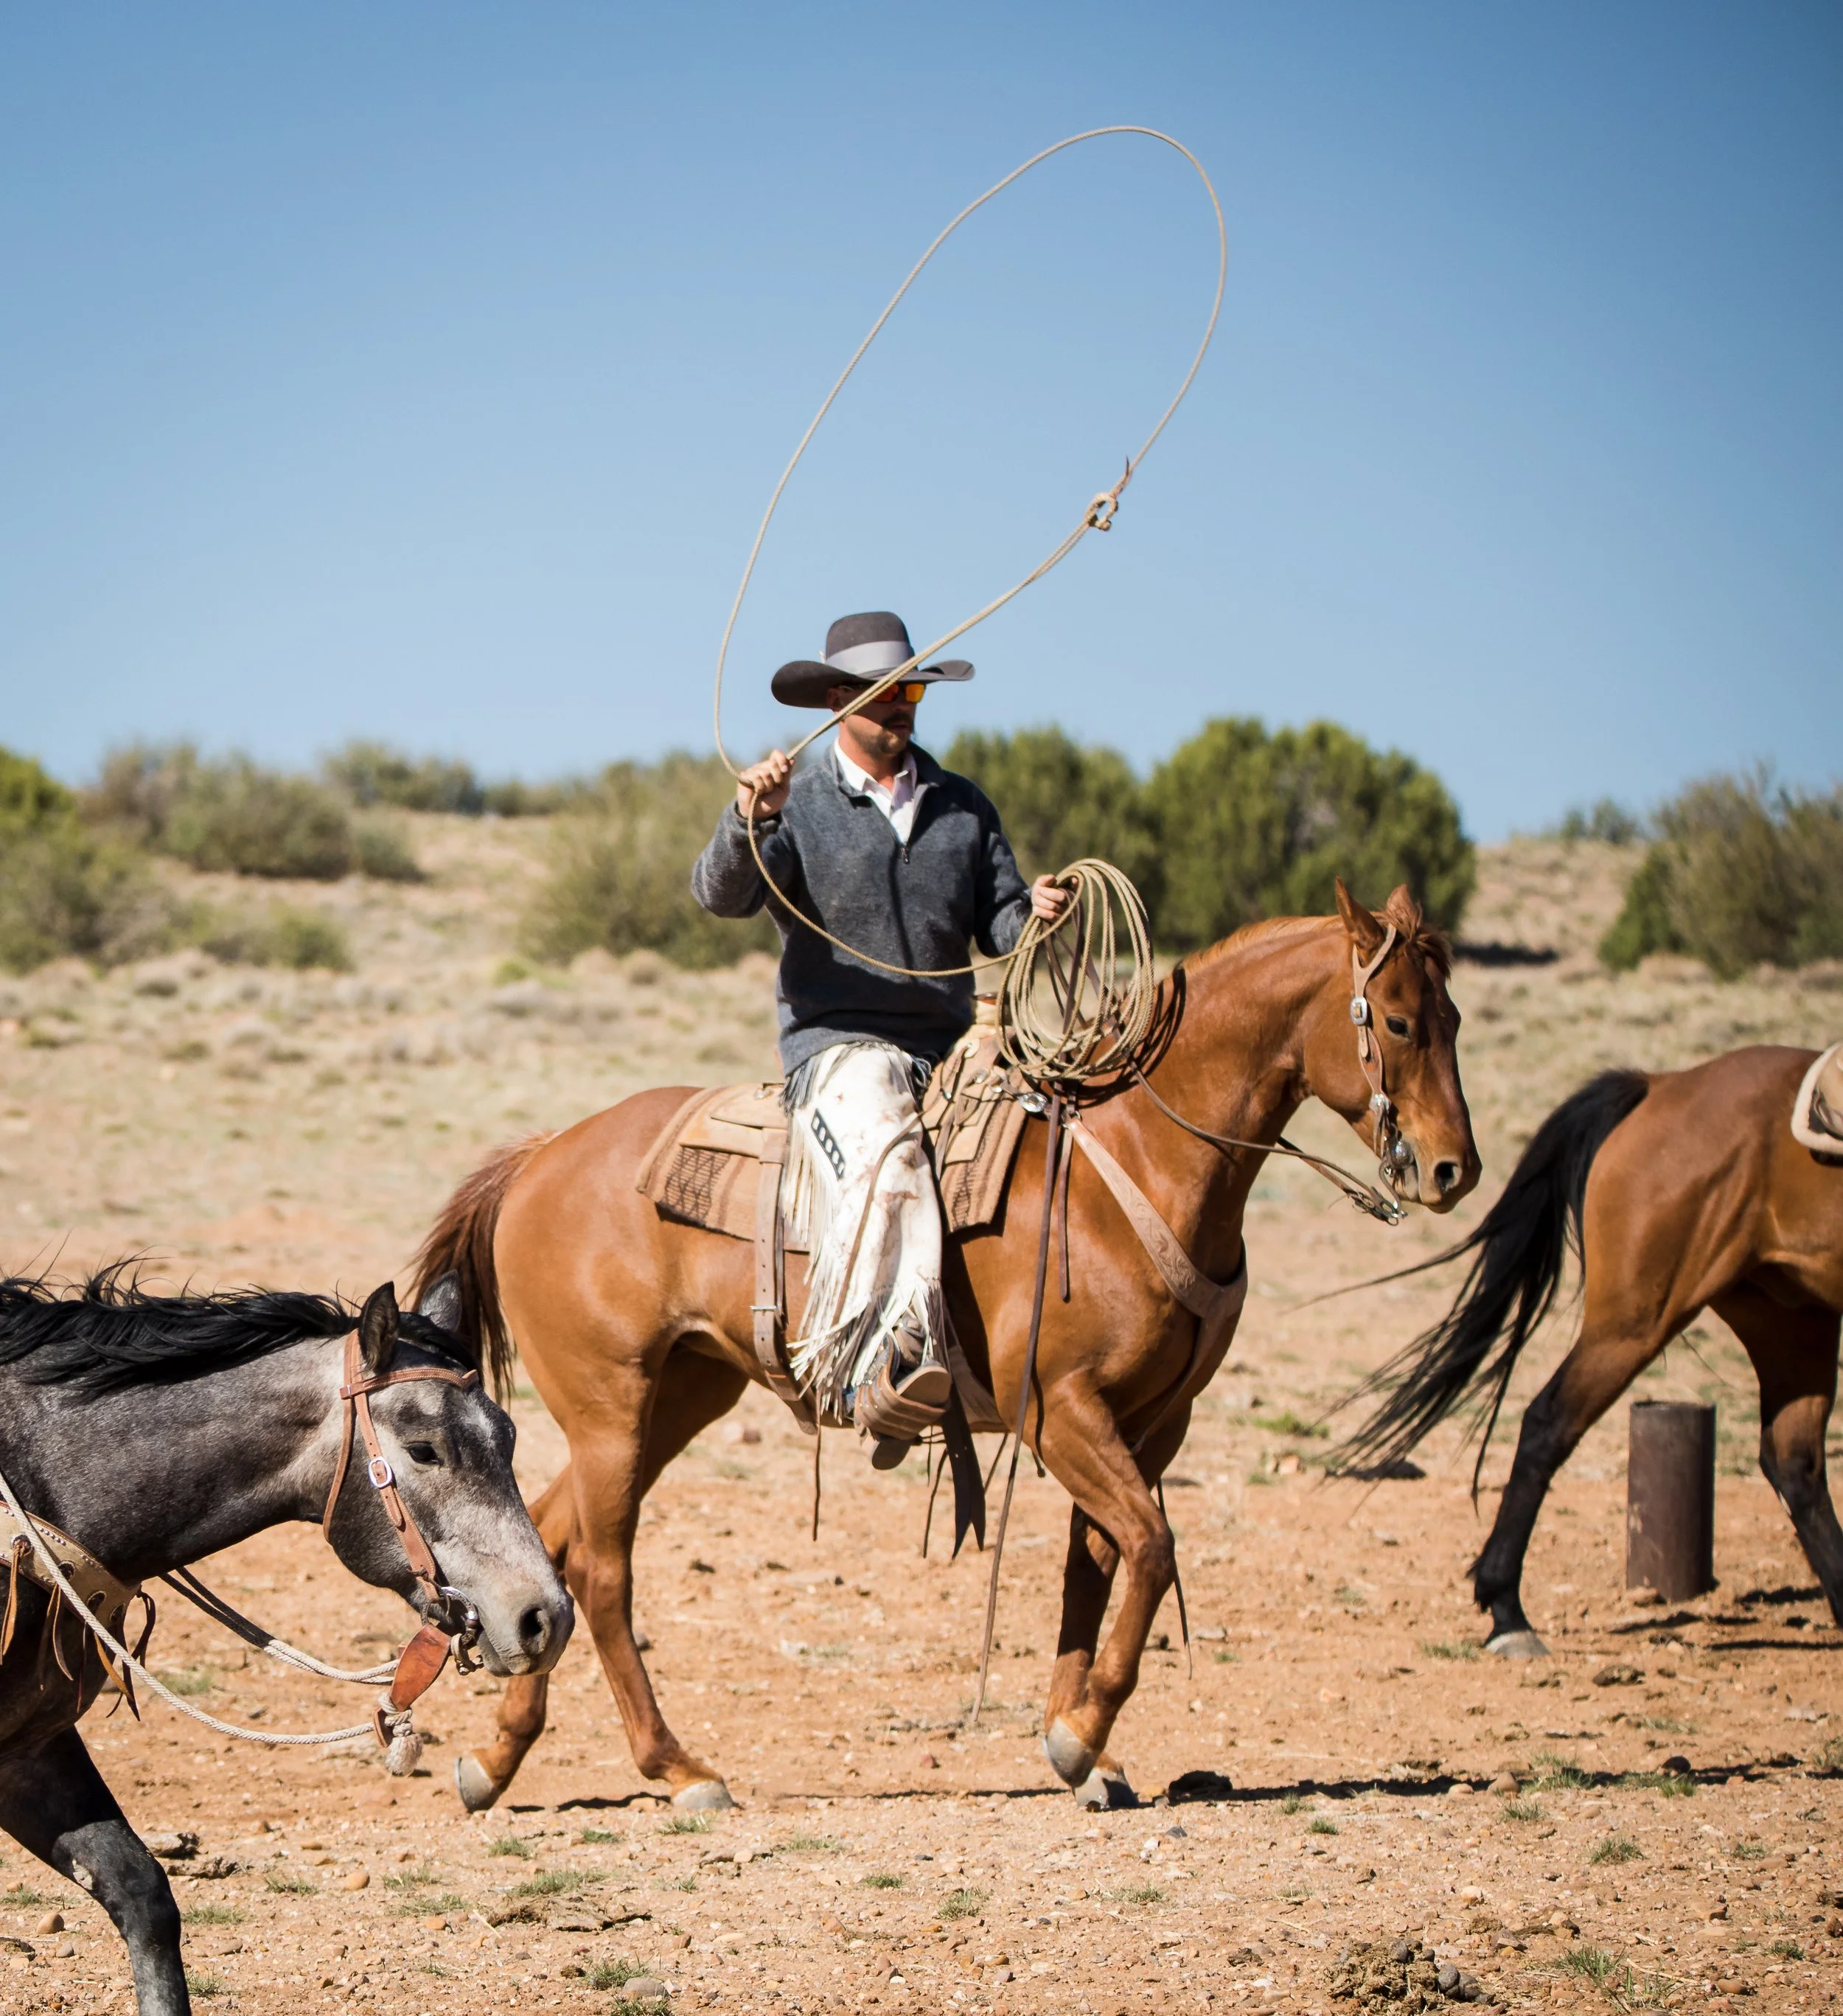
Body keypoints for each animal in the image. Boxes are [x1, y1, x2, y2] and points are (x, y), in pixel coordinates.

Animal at [410, 881, 1479, 1814]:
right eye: (1395, 1021)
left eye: (1455, 1017)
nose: (1452, 1169)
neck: (1136, 1164)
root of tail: (541, 1156)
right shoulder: (1059, 1411)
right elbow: (1150, 1544)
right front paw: (1080, 1732)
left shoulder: (1150, 1421)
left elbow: (1098, 1561)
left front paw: (1081, 1745)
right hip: (612, 1407)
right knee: (601, 1571)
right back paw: (678, 1767)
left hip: (678, 1397)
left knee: (552, 1546)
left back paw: (494, 1759)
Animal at [1332, 1045, 1843, 1654]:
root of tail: (1659, 1084)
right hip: (1641, 1318)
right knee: (1549, 1420)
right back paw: (1507, 1609)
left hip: (1792, 1318)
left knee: (1795, 1461)